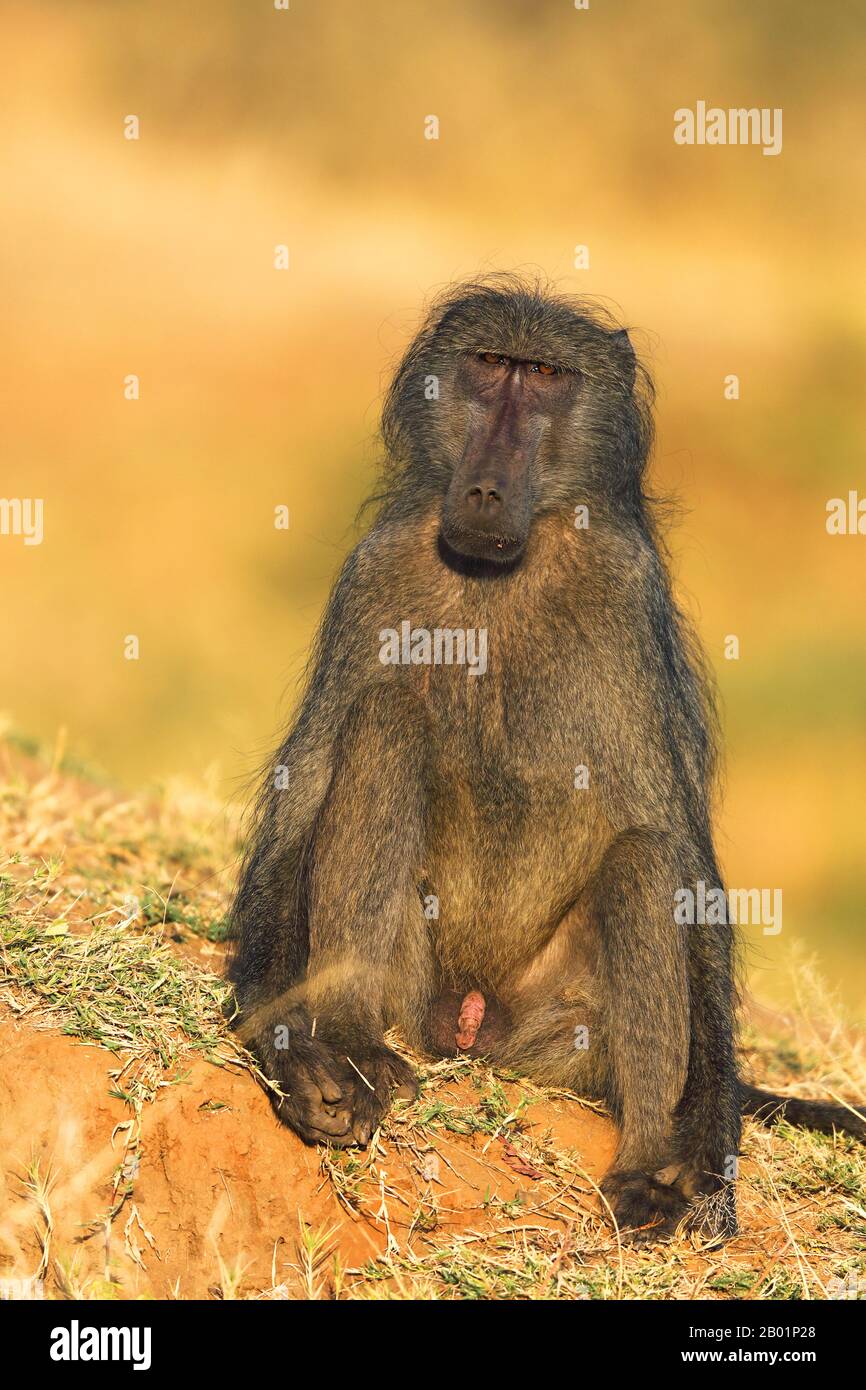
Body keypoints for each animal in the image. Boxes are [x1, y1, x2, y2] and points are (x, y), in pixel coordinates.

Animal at [228, 275, 865, 1244]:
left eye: (547, 378)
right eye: (490, 366)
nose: (489, 488)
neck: (503, 573)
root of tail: (472, 1024)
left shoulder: (623, 591)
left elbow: (678, 843)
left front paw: (706, 1157)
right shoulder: (376, 569)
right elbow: (303, 802)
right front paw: (293, 1052)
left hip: (563, 1030)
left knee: (645, 860)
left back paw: (648, 1164)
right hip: (412, 983)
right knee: (386, 719)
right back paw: (351, 1045)